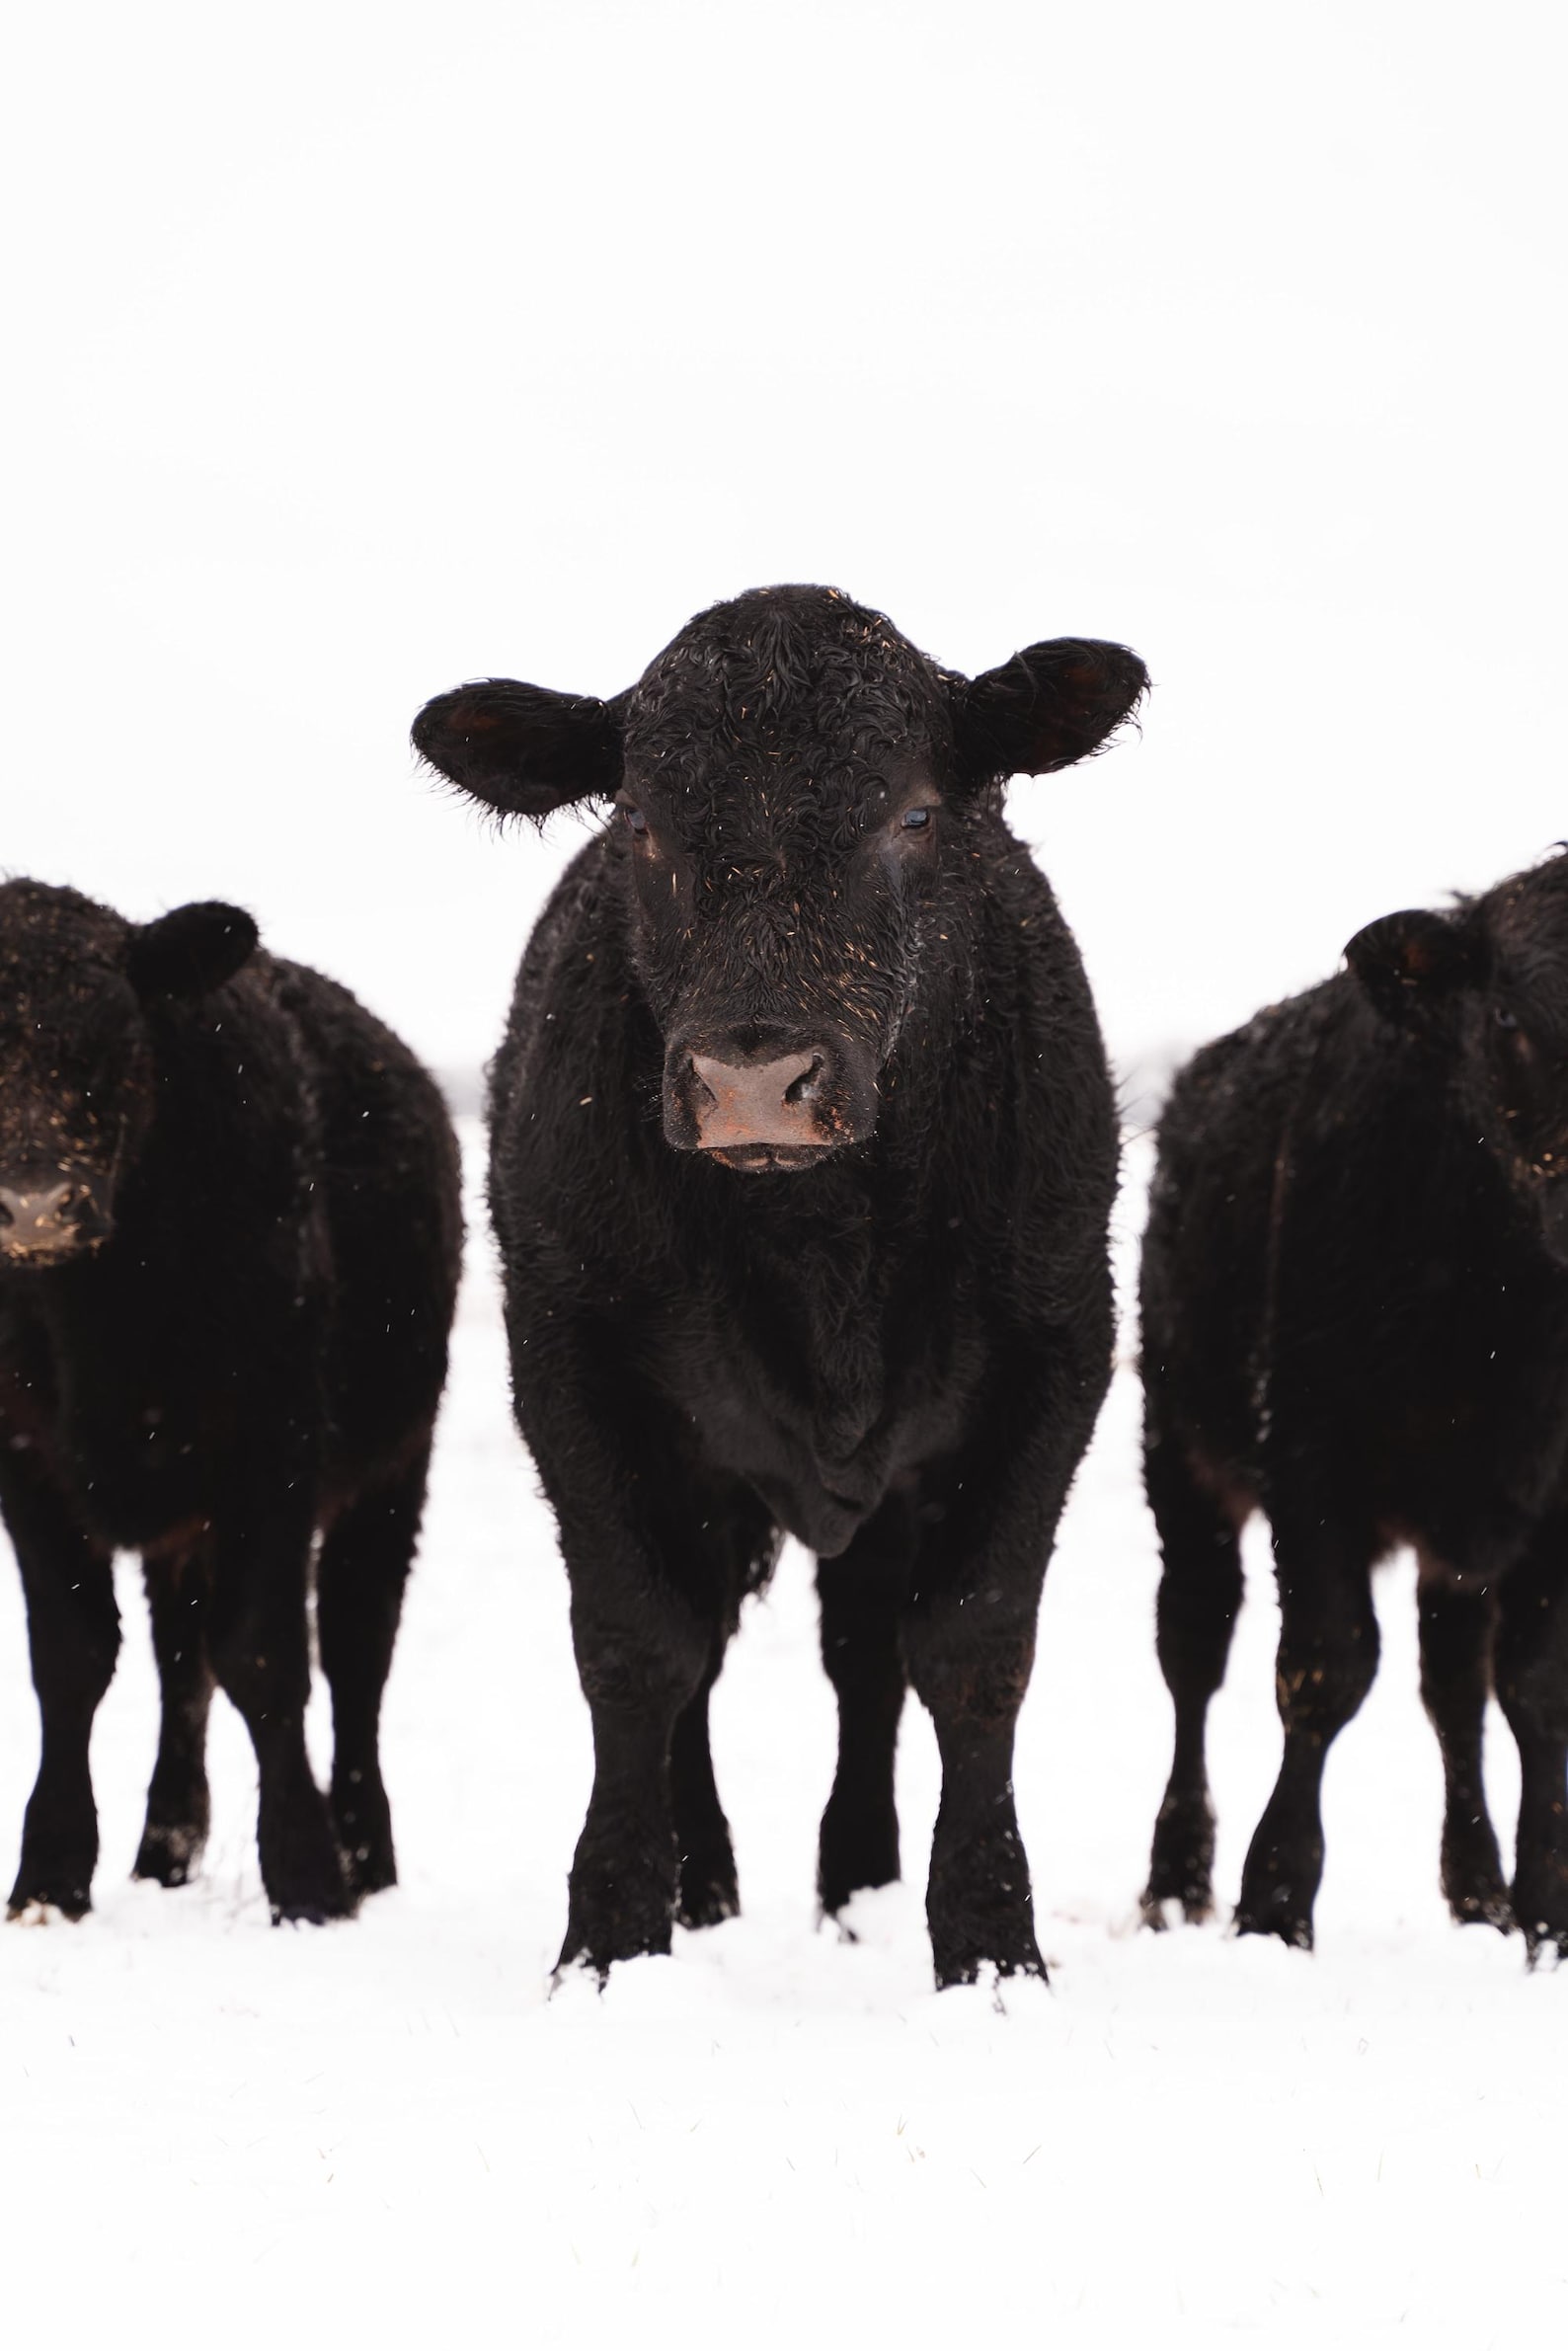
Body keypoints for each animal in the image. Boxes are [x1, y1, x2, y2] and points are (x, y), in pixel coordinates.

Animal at [0, 880, 462, 1923]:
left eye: (118, 1043)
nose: (37, 1206)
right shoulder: (27, 1460)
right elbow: (72, 1657)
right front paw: (50, 1878)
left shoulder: (273, 1440)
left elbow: (264, 1655)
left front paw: (308, 1877)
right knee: (183, 1662)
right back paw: (163, 1853)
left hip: (392, 1472)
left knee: (354, 1656)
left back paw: (366, 1856)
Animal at [414, 583, 1147, 1985]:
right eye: (642, 822)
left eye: (913, 813)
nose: (754, 1079)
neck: (823, 1248)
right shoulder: (569, 1358)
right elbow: (637, 1643)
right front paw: (611, 1941)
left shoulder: (1055, 1352)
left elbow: (972, 1643)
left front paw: (990, 1951)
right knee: (706, 1647)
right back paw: (705, 1888)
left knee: (862, 1654)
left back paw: (855, 1885)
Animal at [1140, 851, 1568, 1961]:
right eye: (1508, 1016)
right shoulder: (1310, 1459)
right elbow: (1324, 1666)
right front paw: (1273, 1902)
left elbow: (1534, 1688)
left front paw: (1546, 1912)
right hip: (1180, 1458)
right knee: (1193, 1648)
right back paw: (1174, 1882)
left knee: (1453, 1685)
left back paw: (1479, 1893)